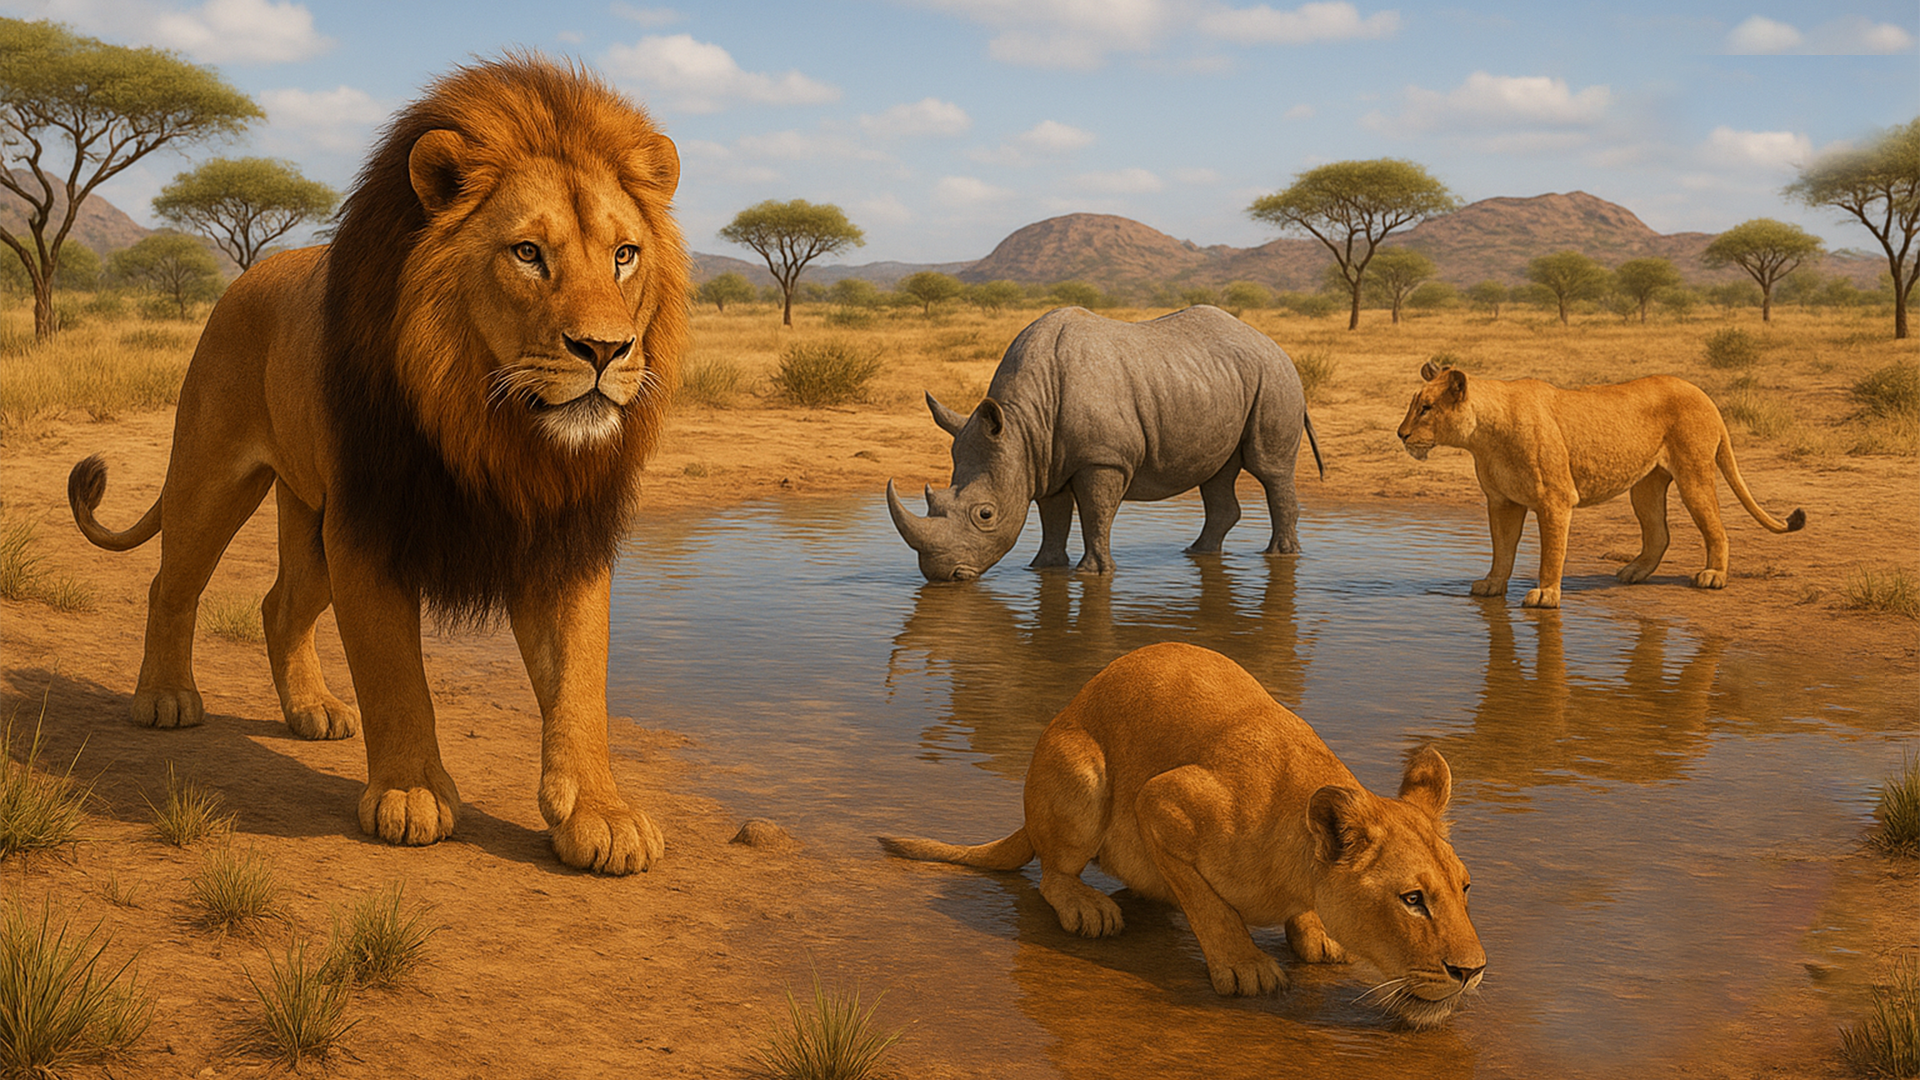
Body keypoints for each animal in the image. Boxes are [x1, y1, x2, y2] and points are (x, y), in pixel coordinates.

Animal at [66, 56, 688, 875]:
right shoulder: (368, 528)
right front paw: (412, 794)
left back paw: (311, 710)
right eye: (528, 253)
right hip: (212, 478)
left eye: (624, 256)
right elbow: (395, 676)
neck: (495, 430)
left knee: (279, 605)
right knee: (170, 585)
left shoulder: (562, 535)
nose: (606, 350)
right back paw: (165, 700)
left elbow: (581, 684)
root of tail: (246, 276)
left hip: (309, 517)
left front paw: (600, 815)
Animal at [881, 642, 1485, 1029]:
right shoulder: (1162, 800)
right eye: (1412, 900)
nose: (1473, 972)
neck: (1296, 868)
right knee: (1054, 875)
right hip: (1082, 769)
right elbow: (1209, 904)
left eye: (1464, 890)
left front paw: (1315, 933)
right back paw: (1089, 907)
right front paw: (1244, 967)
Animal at [1397, 362, 1805, 609]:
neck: (1483, 437)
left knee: (1716, 527)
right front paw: (1492, 584)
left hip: (1693, 471)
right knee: (1659, 533)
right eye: (1414, 404)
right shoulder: (1502, 502)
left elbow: (1551, 552)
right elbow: (1502, 549)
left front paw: (1546, 594)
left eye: (1426, 408)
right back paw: (1633, 573)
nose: (1401, 434)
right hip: (1646, 485)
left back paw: (1713, 576)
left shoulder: (1556, 499)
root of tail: (1704, 395)